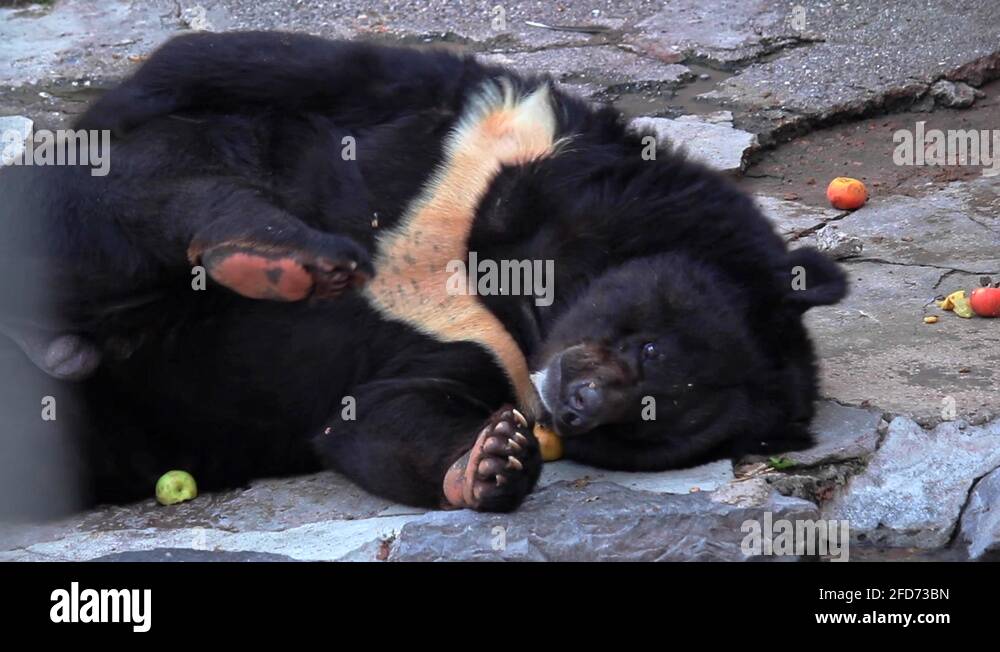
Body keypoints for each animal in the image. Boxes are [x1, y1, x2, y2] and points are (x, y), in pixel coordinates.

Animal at [0, 32, 847, 518]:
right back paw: (275, 259)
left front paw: (492, 462)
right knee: (142, 194)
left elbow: (377, 418)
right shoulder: (495, 127)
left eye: (647, 425)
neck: (519, 301)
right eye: (650, 349)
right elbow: (234, 69)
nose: (575, 404)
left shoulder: (487, 363)